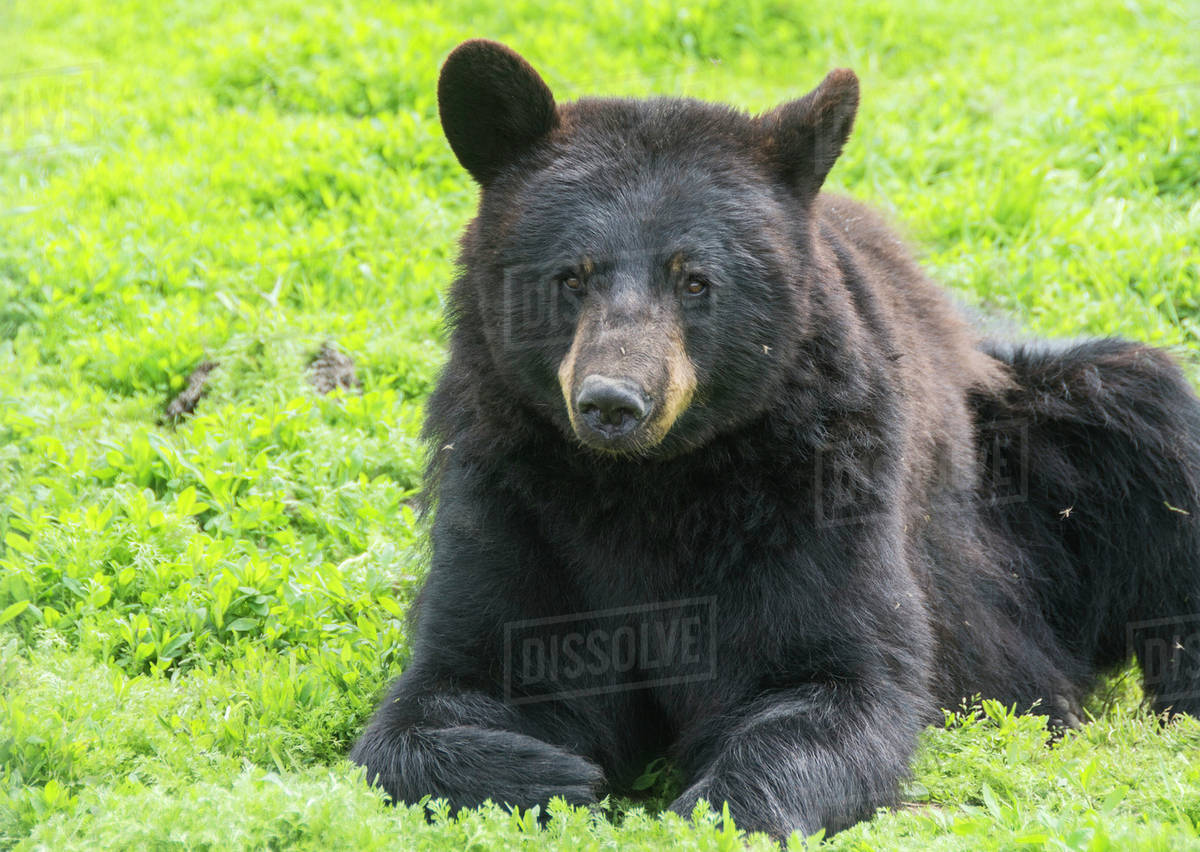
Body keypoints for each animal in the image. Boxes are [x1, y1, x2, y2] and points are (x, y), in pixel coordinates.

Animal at [351, 39, 1200, 841]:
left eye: (695, 279)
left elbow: (834, 679)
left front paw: (716, 806)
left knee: (1148, 426)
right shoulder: (512, 491)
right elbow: (459, 679)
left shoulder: (818, 486)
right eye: (571, 276)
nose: (613, 403)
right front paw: (550, 774)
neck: (650, 484)